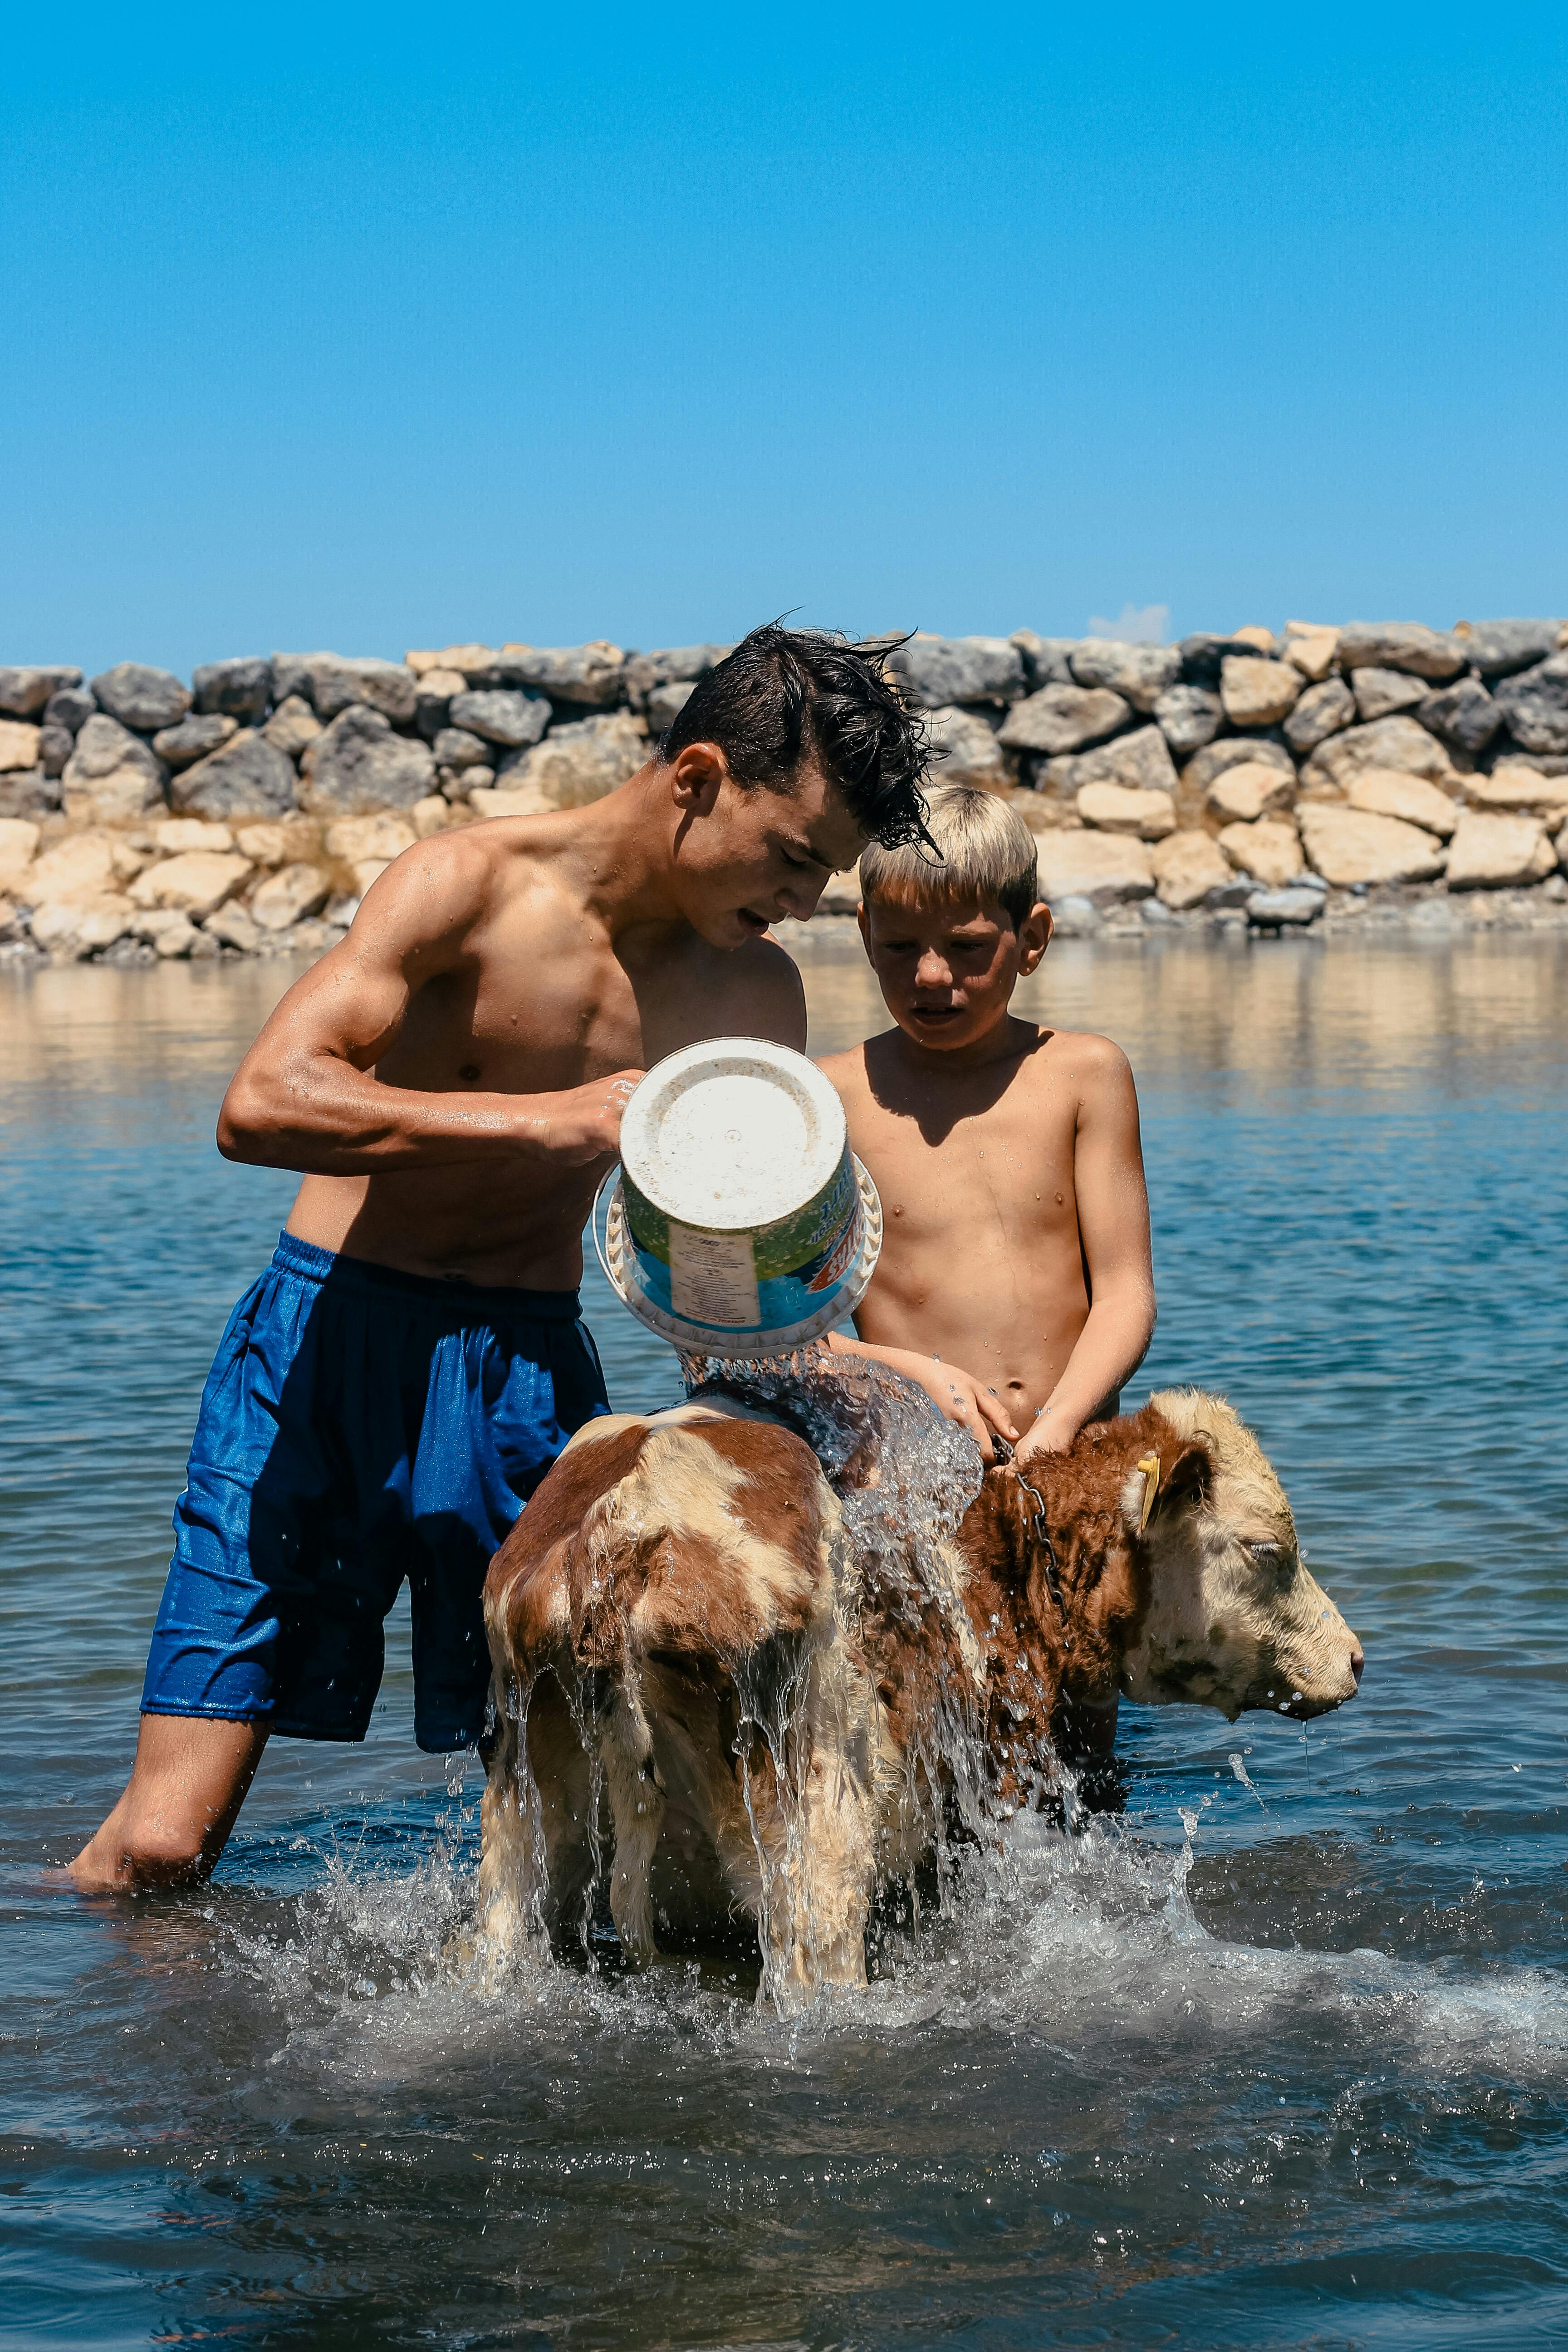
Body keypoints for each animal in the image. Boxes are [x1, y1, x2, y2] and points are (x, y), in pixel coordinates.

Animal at [473, 1378, 1362, 1999]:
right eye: (1265, 1548)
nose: (1355, 1658)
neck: (987, 1582)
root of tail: (620, 1528)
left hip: (523, 1816)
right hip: (817, 1831)